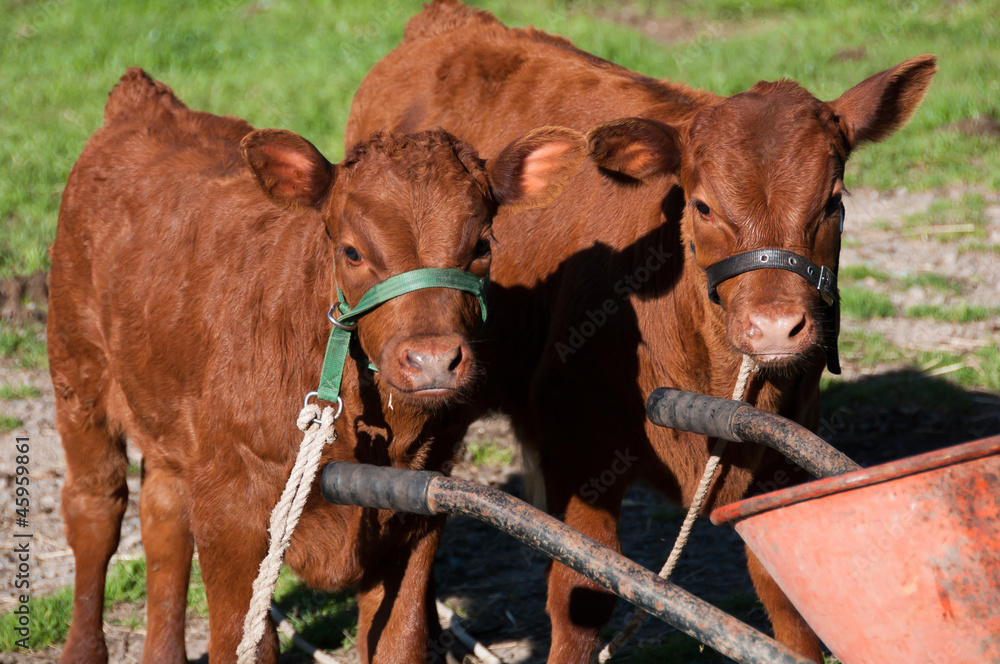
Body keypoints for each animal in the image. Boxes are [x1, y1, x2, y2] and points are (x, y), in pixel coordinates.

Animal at [48, 67, 585, 664]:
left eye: (483, 246)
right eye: (351, 251)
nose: (432, 362)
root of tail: (144, 101)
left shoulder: (419, 510)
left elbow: (400, 642)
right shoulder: (229, 510)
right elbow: (245, 641)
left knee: (163, 515)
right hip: (77, 373)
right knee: (96, 508)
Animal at [345, 1, 937, 661]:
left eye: (833, 202)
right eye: (702, 206)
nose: (776, 328)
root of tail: (450, 22)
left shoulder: (783, 446)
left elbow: (790, 594)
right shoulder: (578, 442)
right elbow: (585, 589)